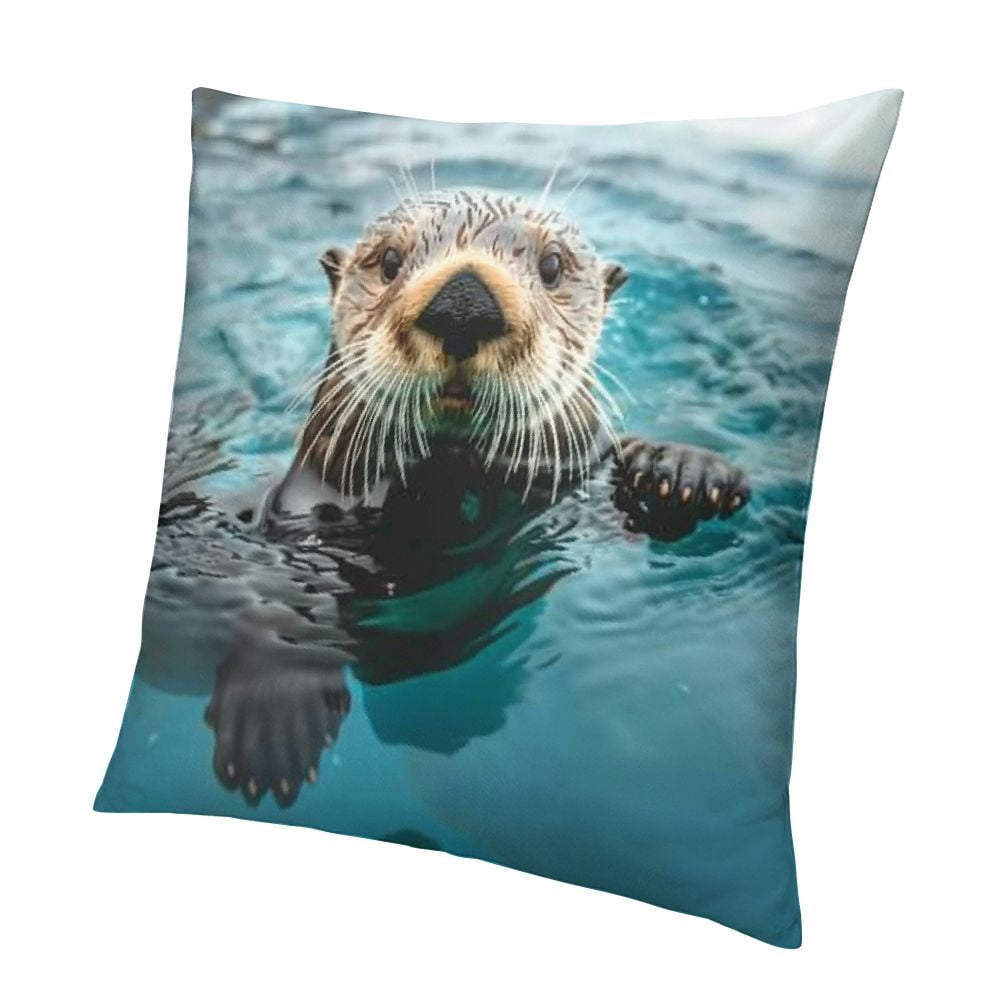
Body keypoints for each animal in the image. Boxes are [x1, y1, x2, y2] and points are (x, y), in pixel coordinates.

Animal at [200, 190, 750, 807]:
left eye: (552, 265)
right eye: (390, 261)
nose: (464, 302)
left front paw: (685, 471)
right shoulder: (295, 524)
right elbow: (272, 598)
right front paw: (272, 719)